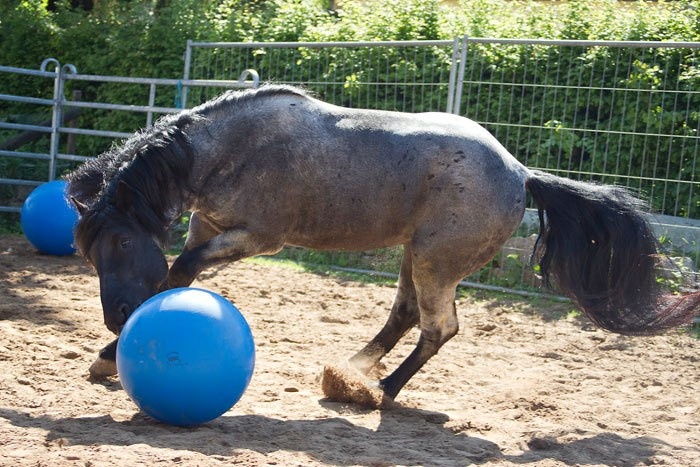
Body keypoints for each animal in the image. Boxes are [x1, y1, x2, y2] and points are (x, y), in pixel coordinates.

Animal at [66, 84, 698, 406]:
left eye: (121, 239)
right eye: (87, 252)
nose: (116, 314)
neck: (229, 147)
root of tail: (521, 174)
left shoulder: (258, 237)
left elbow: (179, 271)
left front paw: (110, 353)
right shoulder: (207, 225)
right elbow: (180, 274)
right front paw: (108, 356)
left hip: (436, 262)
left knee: (438, 327)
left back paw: (379, 390)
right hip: (415, 255)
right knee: (404, 315)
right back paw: (353, 373)